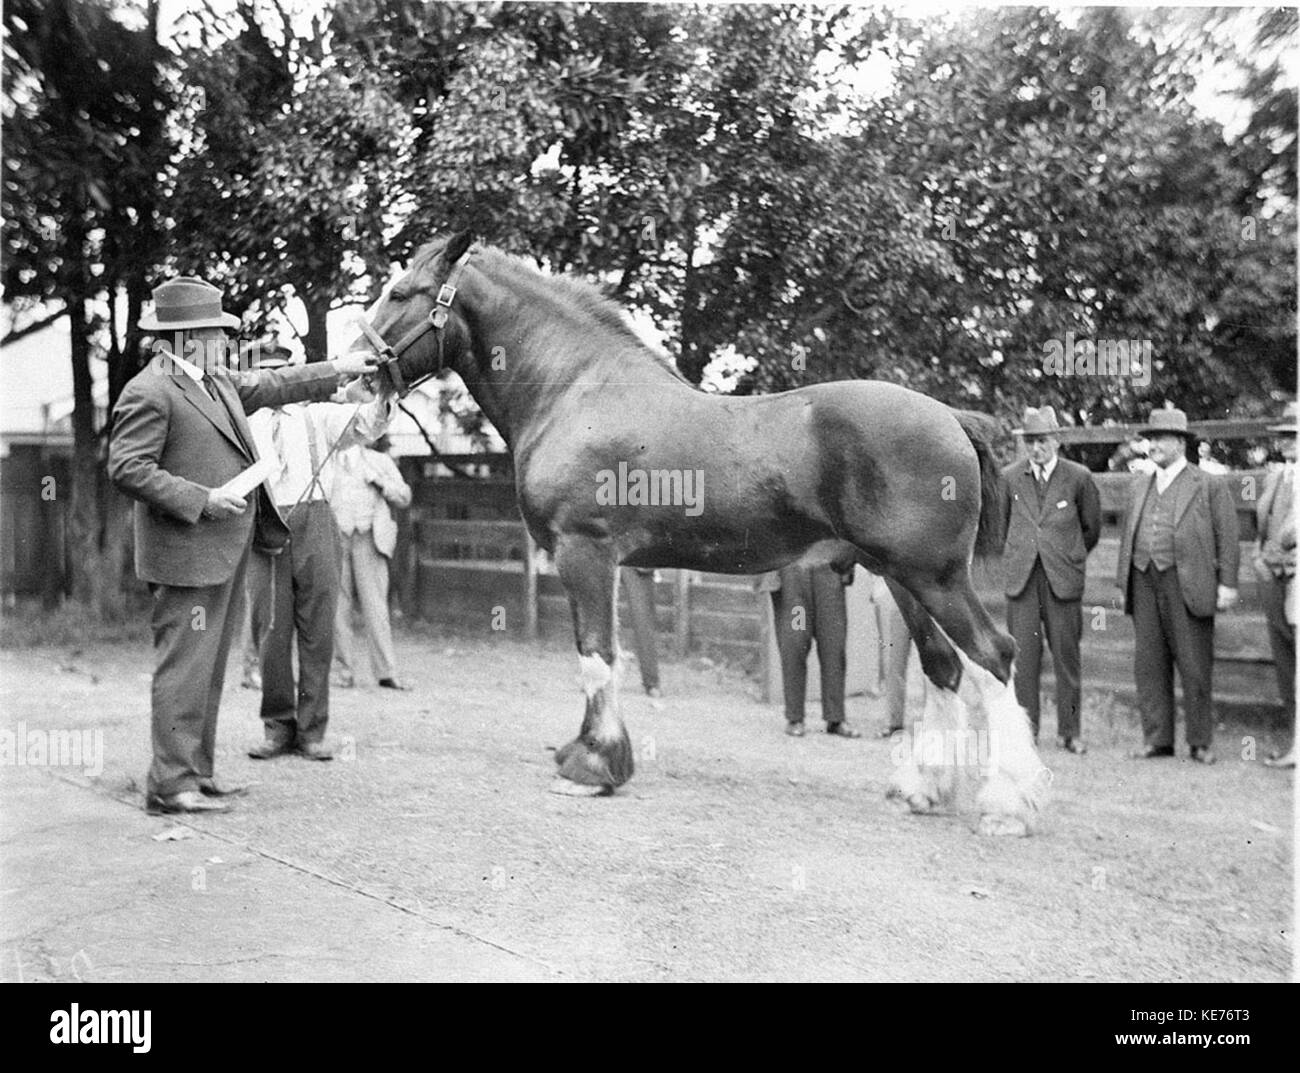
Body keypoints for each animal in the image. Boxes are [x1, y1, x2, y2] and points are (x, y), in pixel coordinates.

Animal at [353, 230, 1051, 836]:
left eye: (402, 292)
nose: (357, 370)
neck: (574, 391)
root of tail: (952, 418)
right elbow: (598, 656)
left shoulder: (585, 552)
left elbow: (596, 655)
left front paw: (592, 766)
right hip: (903, 579)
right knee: (945, 668)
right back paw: (923, 789)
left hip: (934, 579)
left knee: (993, 657)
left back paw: (1006, 807)